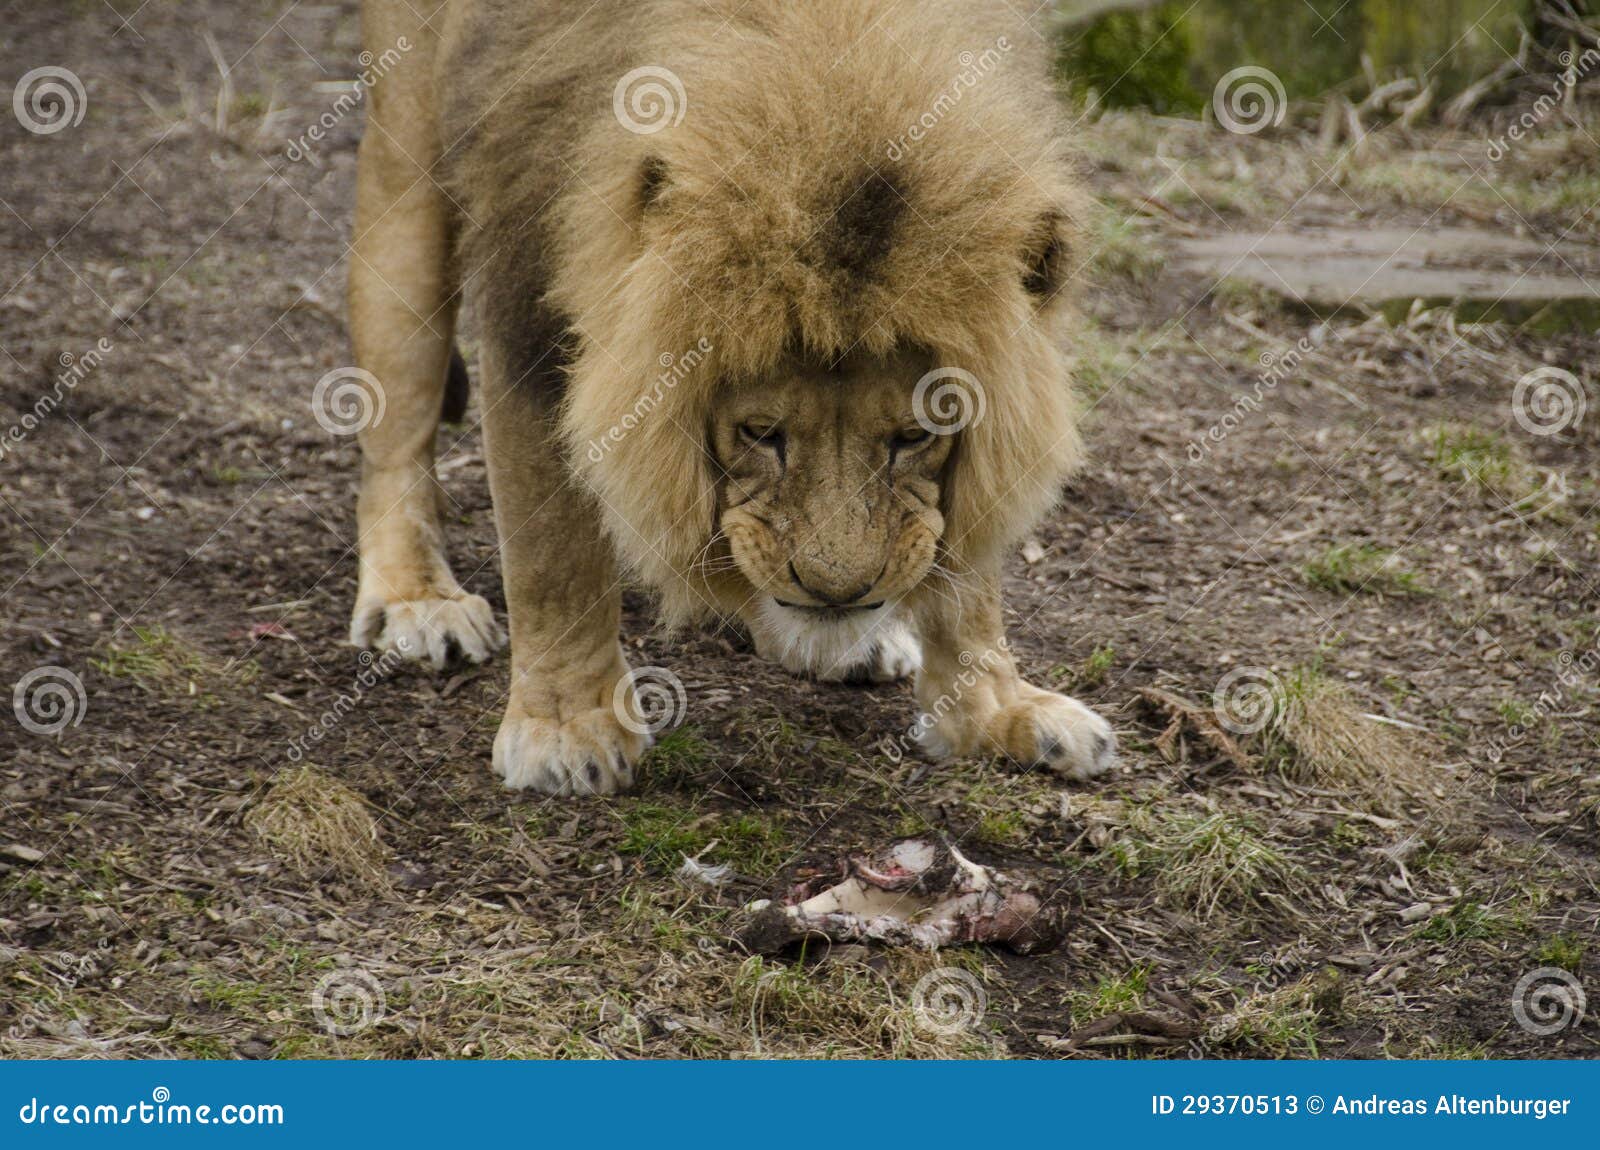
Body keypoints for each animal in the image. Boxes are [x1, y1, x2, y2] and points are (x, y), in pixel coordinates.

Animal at [345, 0, 1118, 796]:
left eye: (913, 437)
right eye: (759, 432)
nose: (838, 591)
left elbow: (970, 571)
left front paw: (997, 710)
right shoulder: (529, 307)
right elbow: (552, 554)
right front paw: (567, 727)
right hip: (407, 169)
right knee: (394, 428)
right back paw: (416, 600)